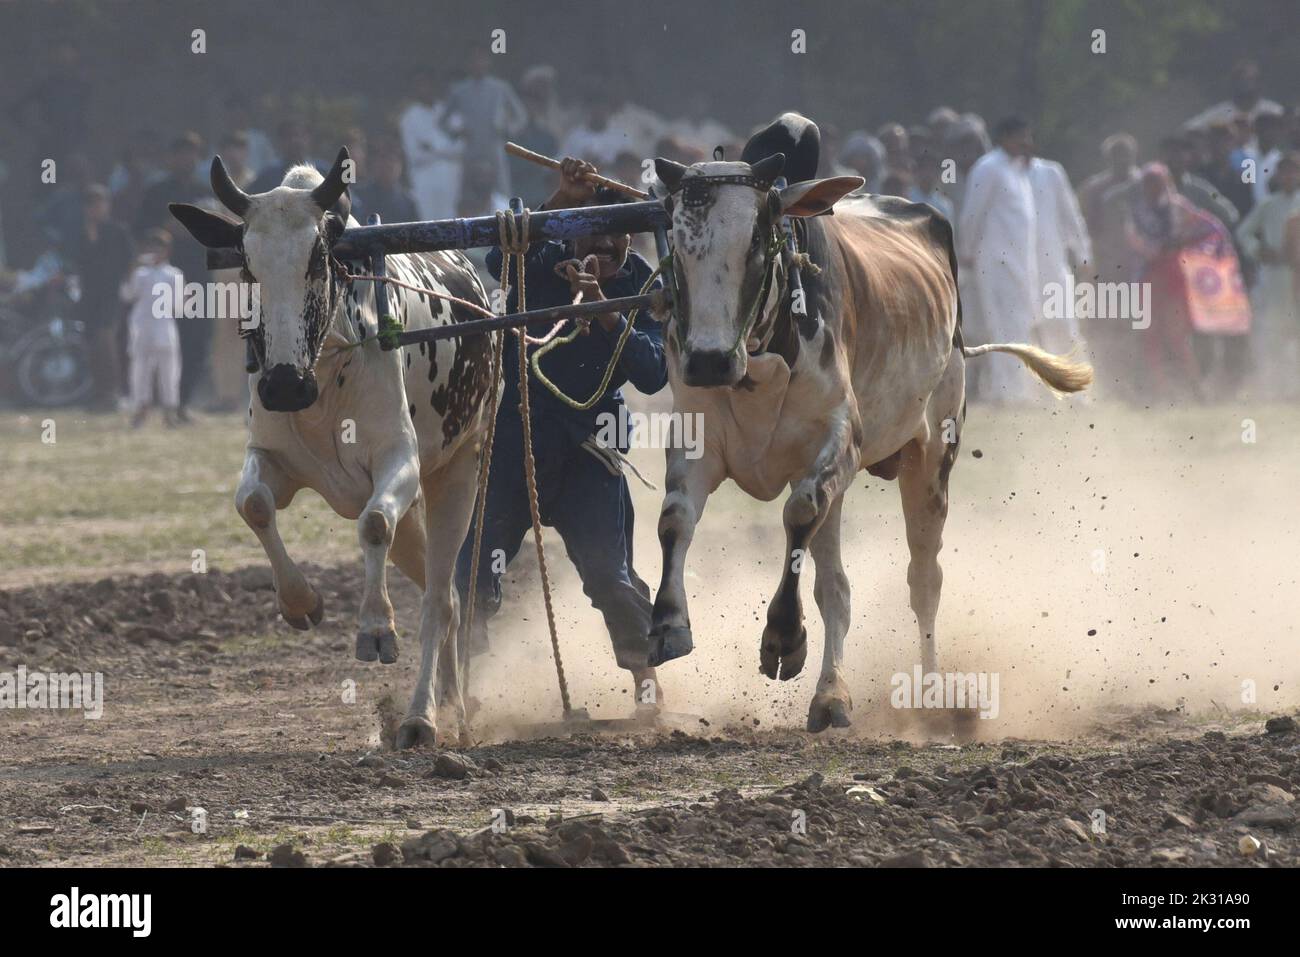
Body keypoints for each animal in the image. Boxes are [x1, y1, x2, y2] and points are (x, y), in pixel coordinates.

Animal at [169, 148, 497, 748]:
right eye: (247, 264)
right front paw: (301, 602)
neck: (323, 374)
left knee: (440, 600)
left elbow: (372, 524)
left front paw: (376, 628)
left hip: (460, 472)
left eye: (319, 258)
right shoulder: (272, 458)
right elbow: (253, 504)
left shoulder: (399, 461)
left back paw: (423, 717)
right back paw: (450, 706)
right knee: (446, 596)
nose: (282, 385)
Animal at [648, 114, 1091, 731]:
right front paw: (668, 624)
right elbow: (675, 519)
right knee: (834, 583)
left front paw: (783, 638)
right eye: (675, 241)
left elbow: (799, 516)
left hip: (932, 458)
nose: (709, 360)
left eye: (758, 239)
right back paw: (832, 694)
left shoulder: (840, 443)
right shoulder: (697, 440)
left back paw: (928, 692)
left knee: (923, 581)